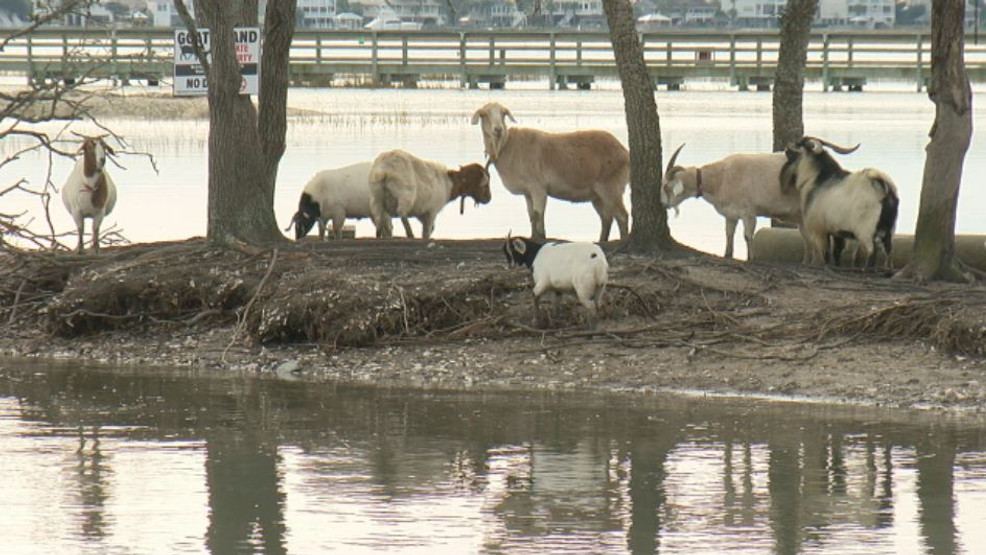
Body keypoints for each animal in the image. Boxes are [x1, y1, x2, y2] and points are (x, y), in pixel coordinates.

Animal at [472, 102, 630, 243]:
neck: (508, 146)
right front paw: (533, 237)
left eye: (503, 114)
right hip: (597, 194)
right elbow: (532, 216)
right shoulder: (527, 191)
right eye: (484, 114)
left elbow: (538, 215)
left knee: (622, 216)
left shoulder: (538, 187)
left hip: (611, 185)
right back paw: (602, 241)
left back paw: (623, 241)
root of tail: (624, 151)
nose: (498, 130)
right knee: (607, 218)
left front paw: (541, 239)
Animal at [661, 144, 803, 260]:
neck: (722, 178)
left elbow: (747, 236)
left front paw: (750, 258)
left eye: (666, 186)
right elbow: (729, 234)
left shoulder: (748, 213)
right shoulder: (730, 215)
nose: (663, 204)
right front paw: (727, 255)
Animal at [780, 136, 899, 268]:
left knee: (873, 251)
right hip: (889, 230)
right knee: (888, 250)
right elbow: (837, 253)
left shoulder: (820, 230)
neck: (817, 180)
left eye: (801, 144)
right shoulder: (837, 231)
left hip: (866, 231)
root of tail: (884, 189)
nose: (786, 146)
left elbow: (826, 254)